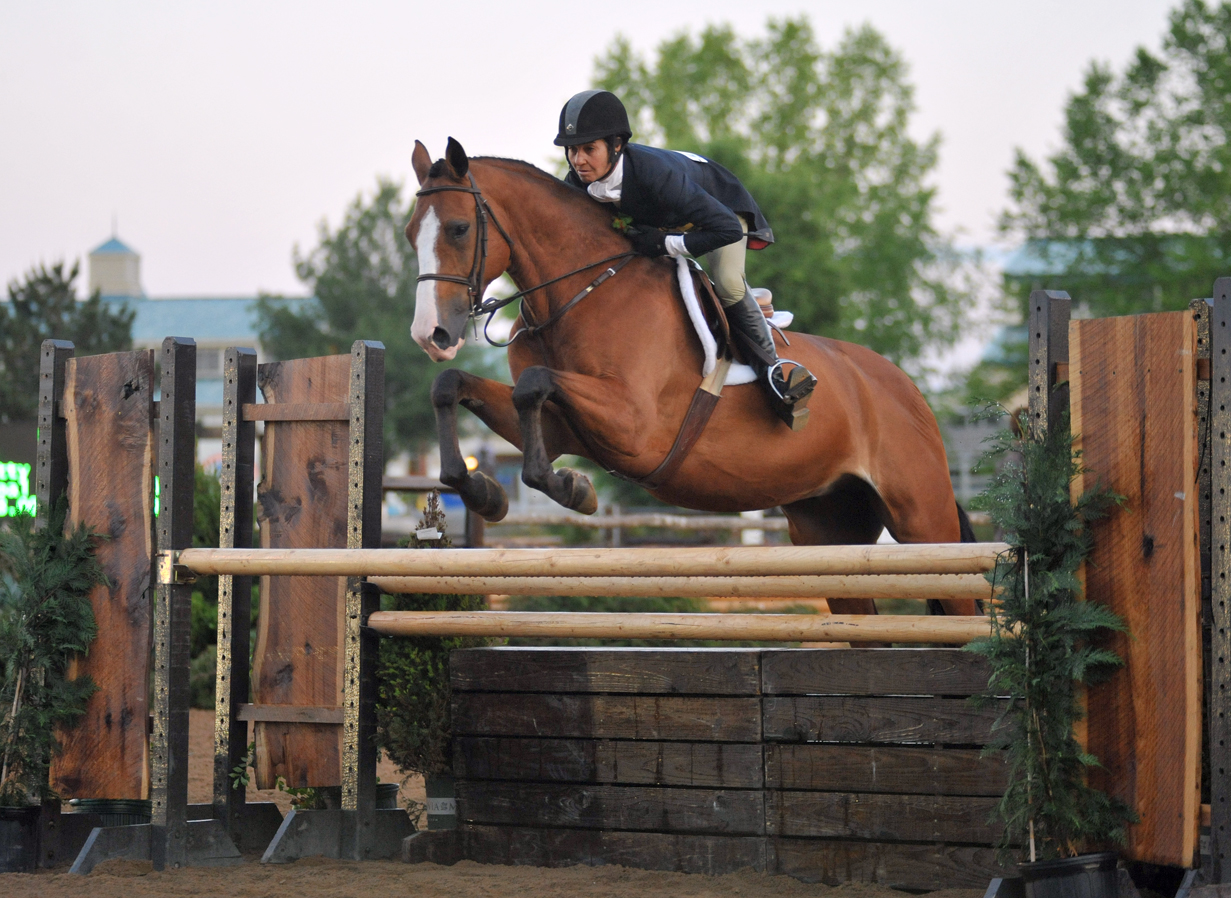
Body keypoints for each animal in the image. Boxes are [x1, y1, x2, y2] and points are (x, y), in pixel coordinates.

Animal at [406, 138, 978, 616]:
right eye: (412, 234)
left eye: (459, 228)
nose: (430, 334)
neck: (583, 291)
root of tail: (907, 390)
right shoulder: (562, 427)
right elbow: (453, 386)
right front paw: (485, 492)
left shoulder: (634, 426)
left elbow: (534, 386)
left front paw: (572, 488)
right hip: (828, 529)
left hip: (923, 523)